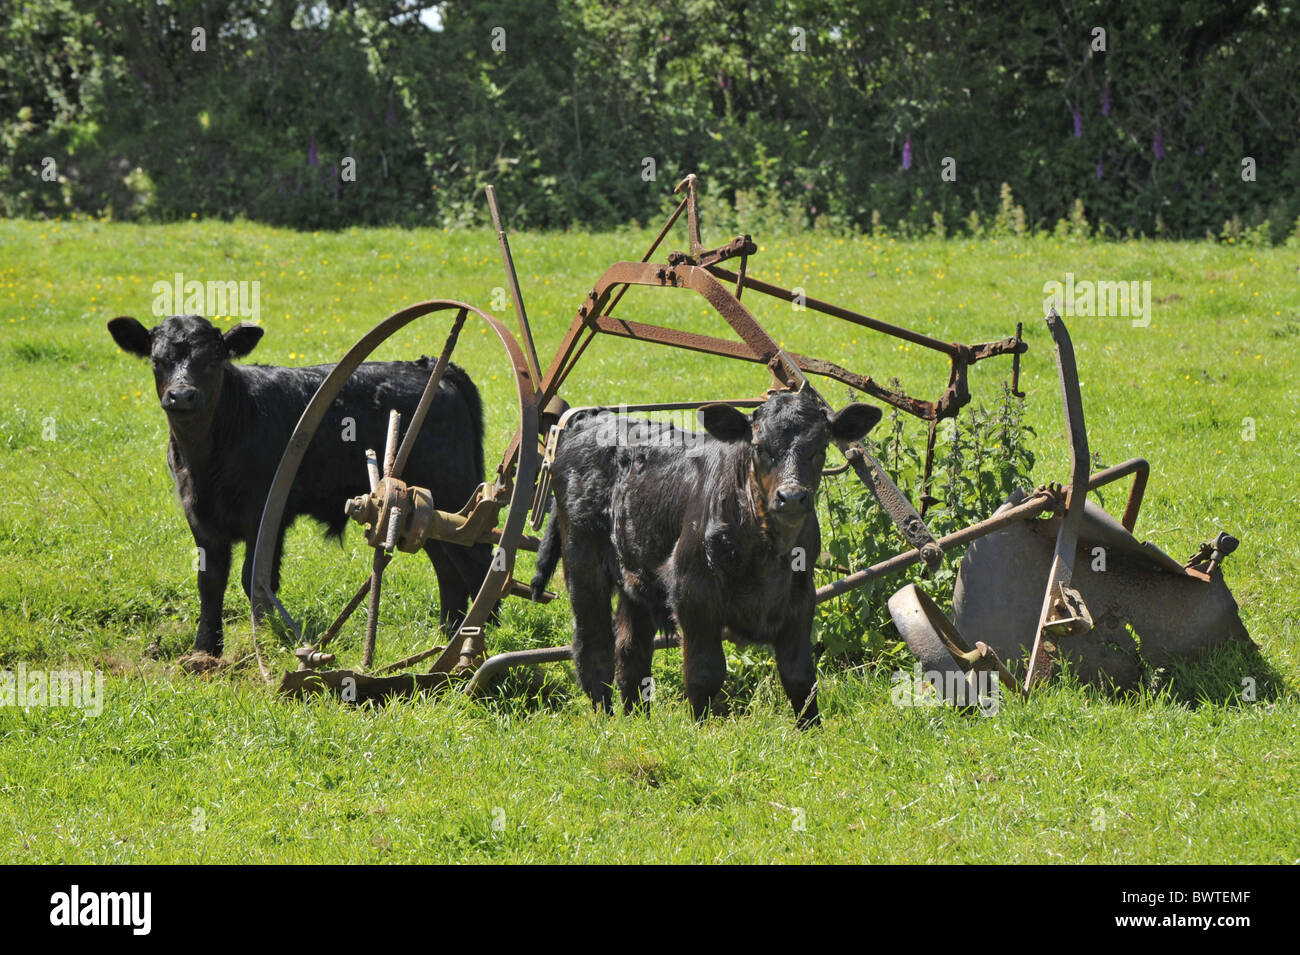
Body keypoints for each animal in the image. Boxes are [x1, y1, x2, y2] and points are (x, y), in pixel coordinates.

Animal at [108, 314, 494, 661]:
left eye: (213, 360)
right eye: (157, 360)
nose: (182, 396)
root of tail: (430, 367)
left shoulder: (265, 515)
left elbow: (255, 581)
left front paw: (261, 644)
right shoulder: (201, 520)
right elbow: (210, 583)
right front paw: (205, 652)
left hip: (452, 489)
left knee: (479, 559)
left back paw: (481, 637)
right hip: (419, 509)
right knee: (448, 566)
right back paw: (448, 631)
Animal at [530, 389, 881, 727]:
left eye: (820, 448)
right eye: (759, 447)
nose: (792, 497)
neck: (768, 550)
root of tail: (591, 419)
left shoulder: (801, 597)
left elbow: (800, 676)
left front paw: (811, 730)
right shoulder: (693, 591)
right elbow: (704, 672)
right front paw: (700, 731)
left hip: (635, 574)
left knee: (631, 652)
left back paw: (637, 724)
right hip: (582, 560)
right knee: (593, 648)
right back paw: (605, 722)